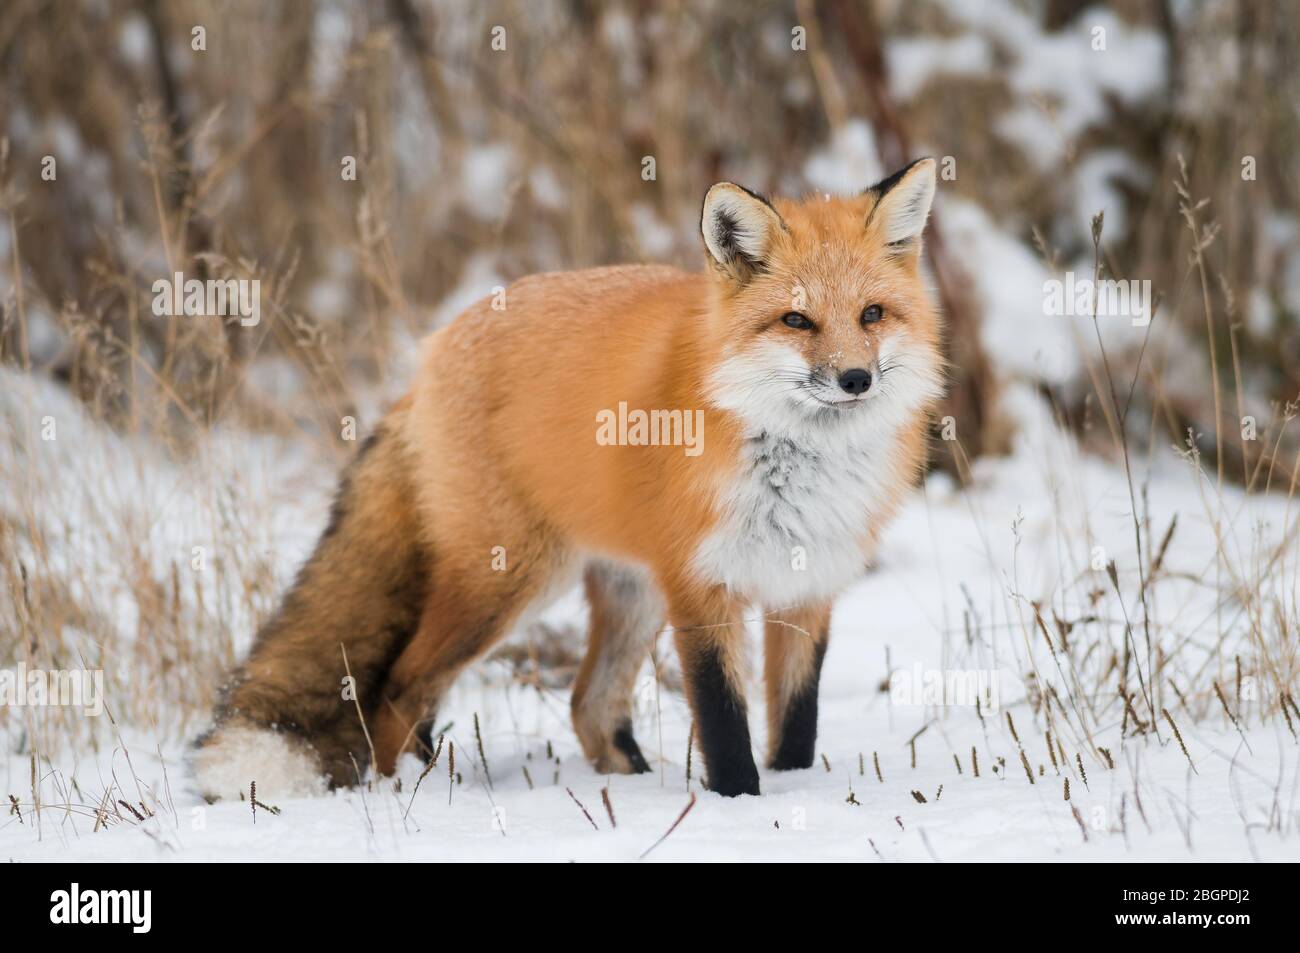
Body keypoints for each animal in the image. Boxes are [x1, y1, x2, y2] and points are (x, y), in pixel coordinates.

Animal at [192, 157, 945, 800]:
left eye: (871, 314)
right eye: (796, 319)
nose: (856, 379)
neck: (794, 459)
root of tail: (430, 357)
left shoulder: (808, 584)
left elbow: (795, 722)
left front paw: (792, 789)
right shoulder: (701, 585)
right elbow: (725, 724)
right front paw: (738, 806)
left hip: (627, 588)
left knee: (589, 706)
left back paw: (621, 782)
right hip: (507, 581)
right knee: (400, 686)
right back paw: (412, 790)